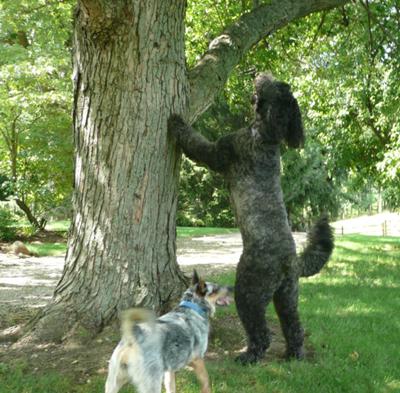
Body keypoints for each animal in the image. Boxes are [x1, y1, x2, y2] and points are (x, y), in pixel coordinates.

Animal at [104, 270, 233, 392]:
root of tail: (134, 334)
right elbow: (206, 383)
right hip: (152, 383)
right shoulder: (197, 360)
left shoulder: (170, 370)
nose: (231, 287)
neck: (192, 307)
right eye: (215, 289)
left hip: (113, 382)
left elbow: (171, 387)